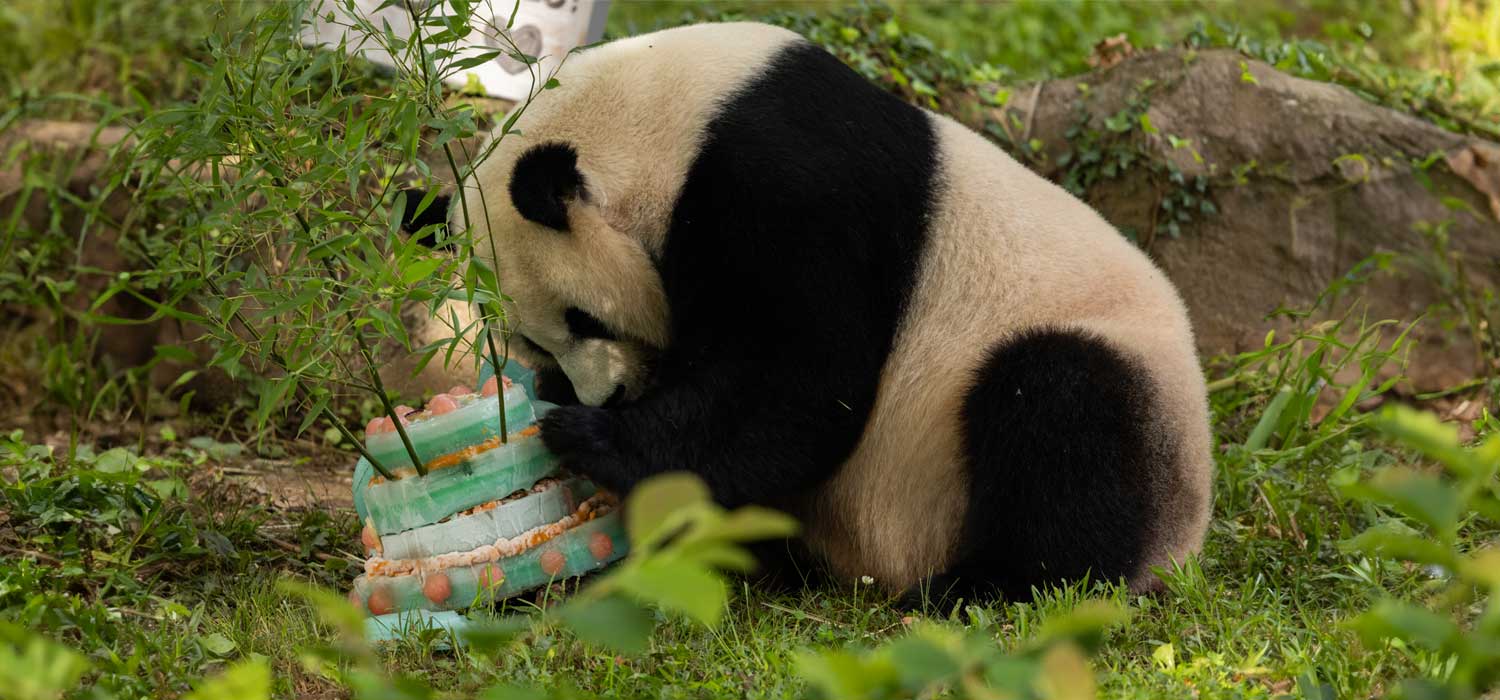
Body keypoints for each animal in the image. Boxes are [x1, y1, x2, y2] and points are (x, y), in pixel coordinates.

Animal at [405, 21, 1214, 604]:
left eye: (583, 320)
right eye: (537, 345)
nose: (608, 394)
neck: (663, 117)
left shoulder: (792, 185)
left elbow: (793, 382)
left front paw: (591, 436)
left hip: (1104, 382)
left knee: (1062, 418)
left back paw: (981, 588)